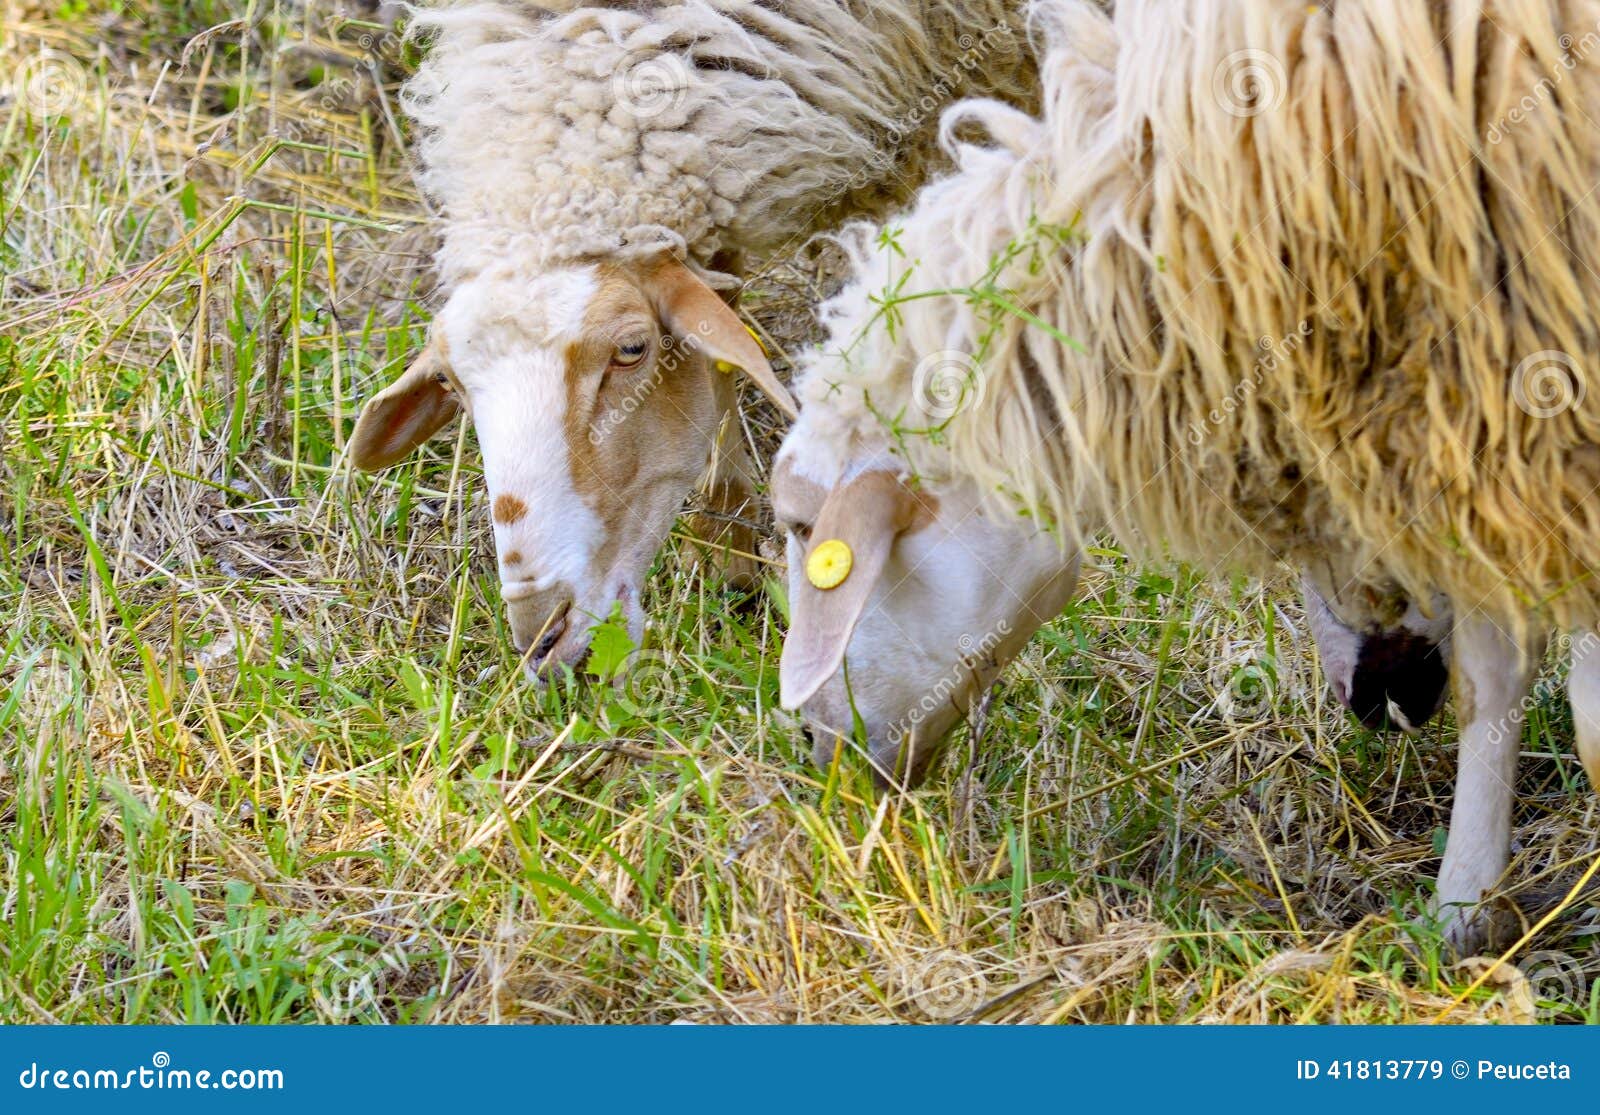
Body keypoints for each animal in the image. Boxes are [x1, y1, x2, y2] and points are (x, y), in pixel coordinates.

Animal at [773, 0, 1600, 951]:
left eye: (804, 530)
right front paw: (1460, 914)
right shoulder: (1481, 433)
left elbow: (1588, 718)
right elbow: (1492, 680)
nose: (813, 748)